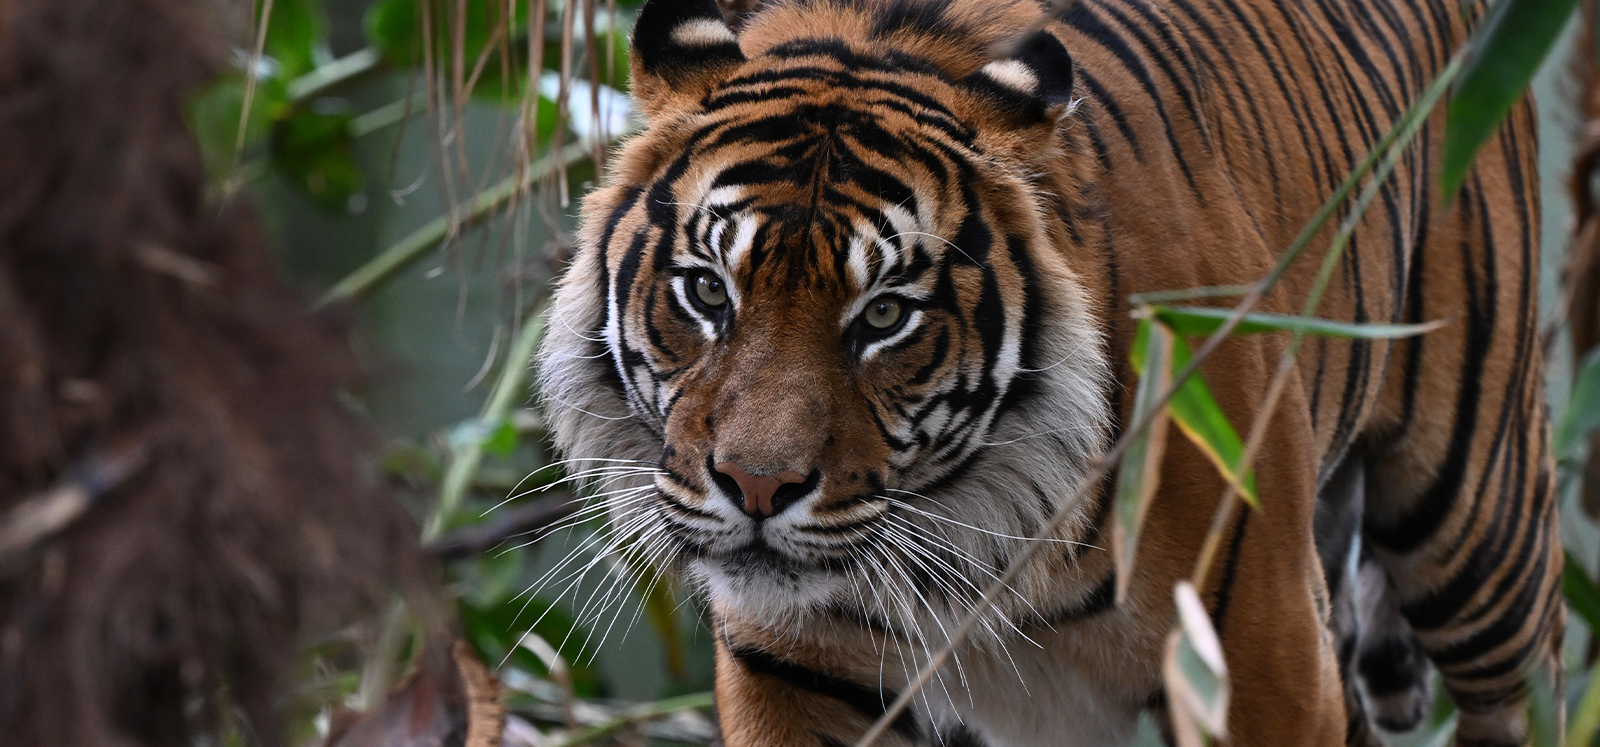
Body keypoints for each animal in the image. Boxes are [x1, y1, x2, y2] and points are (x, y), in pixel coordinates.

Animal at [535, 0, 1563, 743]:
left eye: (884, 315)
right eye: (709, 291)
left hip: (1477, 527)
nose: (756, 486)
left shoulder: (1265, 662)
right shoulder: (794, 669)